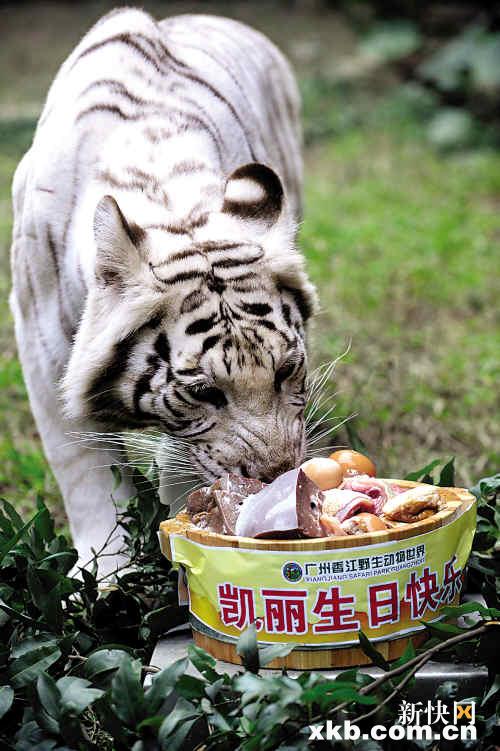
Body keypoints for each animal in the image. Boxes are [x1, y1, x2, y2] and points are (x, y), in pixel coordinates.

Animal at [10, 7, 318, 574]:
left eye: (287, 370)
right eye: (204, 393)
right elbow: (80, 466)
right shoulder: (40, 339)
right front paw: (108, 573)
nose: (278, 475)